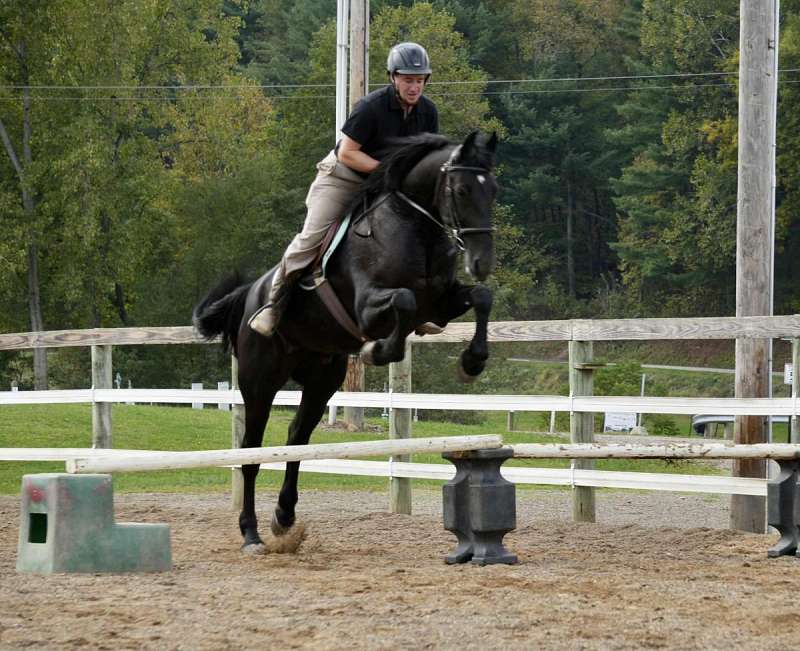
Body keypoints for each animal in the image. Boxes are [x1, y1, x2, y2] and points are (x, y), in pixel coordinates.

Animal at [193, 131, 499, 553]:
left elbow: (481, 298)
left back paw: (284, 518)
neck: (414, 227)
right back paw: (251, 534)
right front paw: (377, 350)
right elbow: (403, 302)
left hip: (323, 378)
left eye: (494, 190)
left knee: (297, 437)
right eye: (463, 189)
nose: (482, 262)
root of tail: (248, 296)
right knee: (252, 449)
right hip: (260, 381)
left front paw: (472, 362)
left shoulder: (439, 305)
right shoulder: (369, 307)